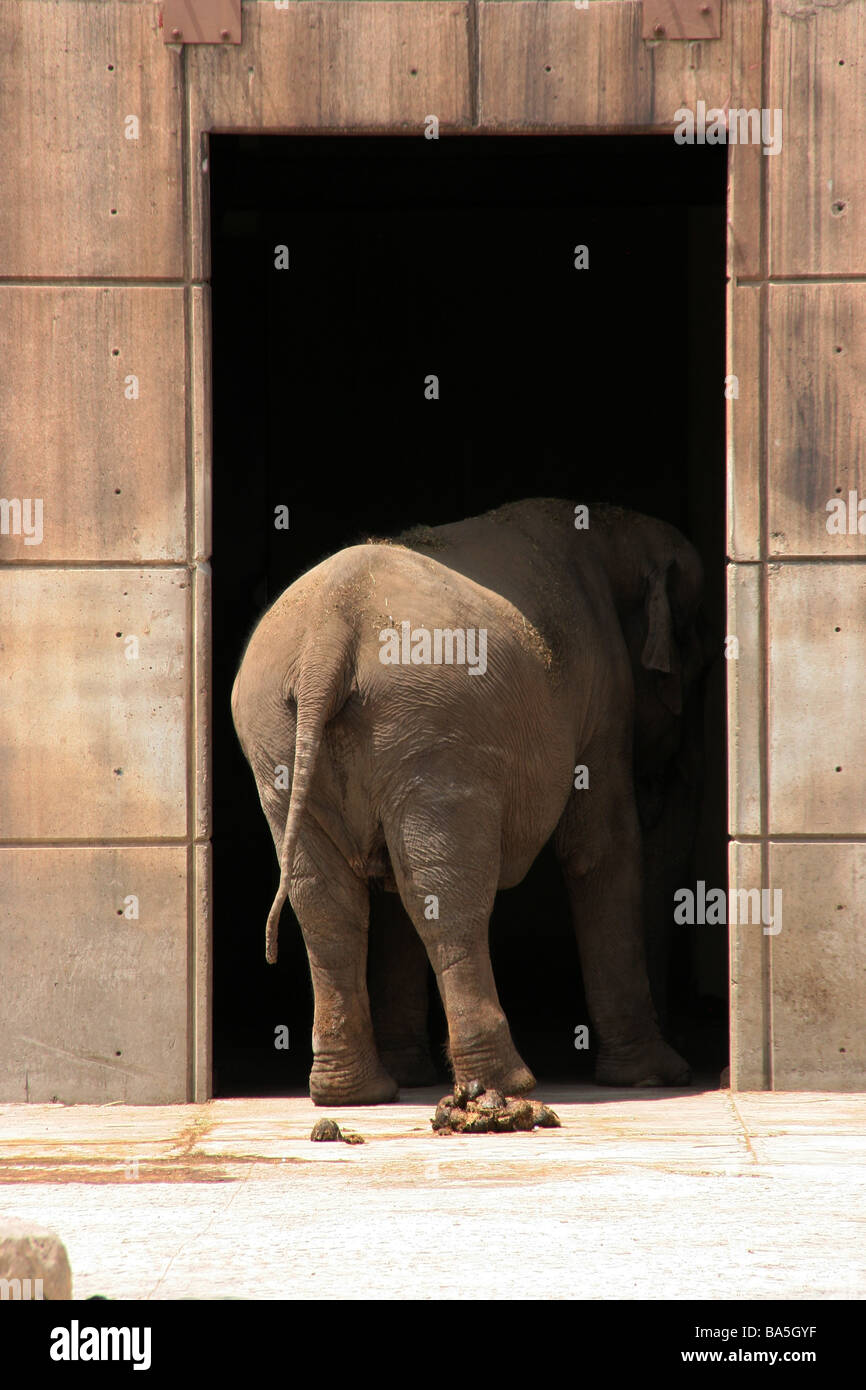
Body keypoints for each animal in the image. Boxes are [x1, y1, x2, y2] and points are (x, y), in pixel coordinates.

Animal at [231, 498, 704, 1105]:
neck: (614, 529)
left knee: (328, 900)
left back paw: (354, 1093)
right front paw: (653, 1076)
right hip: (433, 731)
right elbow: (601, 848)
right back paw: (503, 1085)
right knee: (448, 895)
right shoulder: (603, 699)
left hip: (282, 739)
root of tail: (326, 639)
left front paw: (410, 1075)